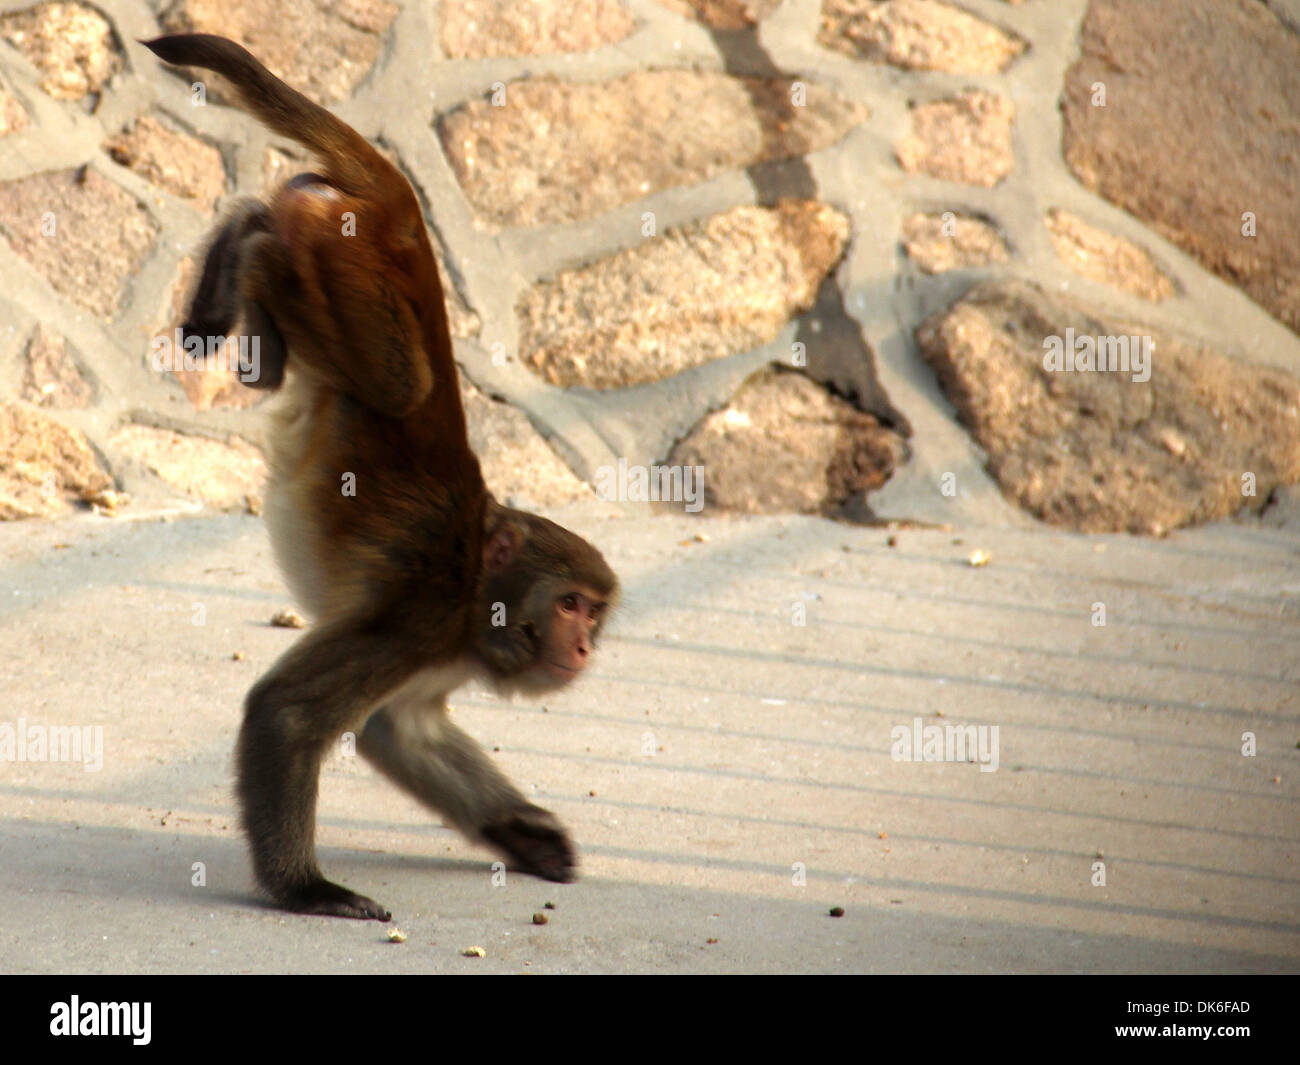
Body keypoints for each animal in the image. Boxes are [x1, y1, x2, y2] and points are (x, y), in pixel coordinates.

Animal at [142, 35, 618, 921]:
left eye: (595, 613)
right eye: (570, 603)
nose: (581, 645)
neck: (474, 589)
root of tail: (403, 208)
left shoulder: (438, 649)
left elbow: (403, 732)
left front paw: (525, 833)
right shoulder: (419, 613)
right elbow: (289, 715)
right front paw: (308, 889)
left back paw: (243, 255)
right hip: (353, 259)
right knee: (394, 376)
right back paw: (249, 246)